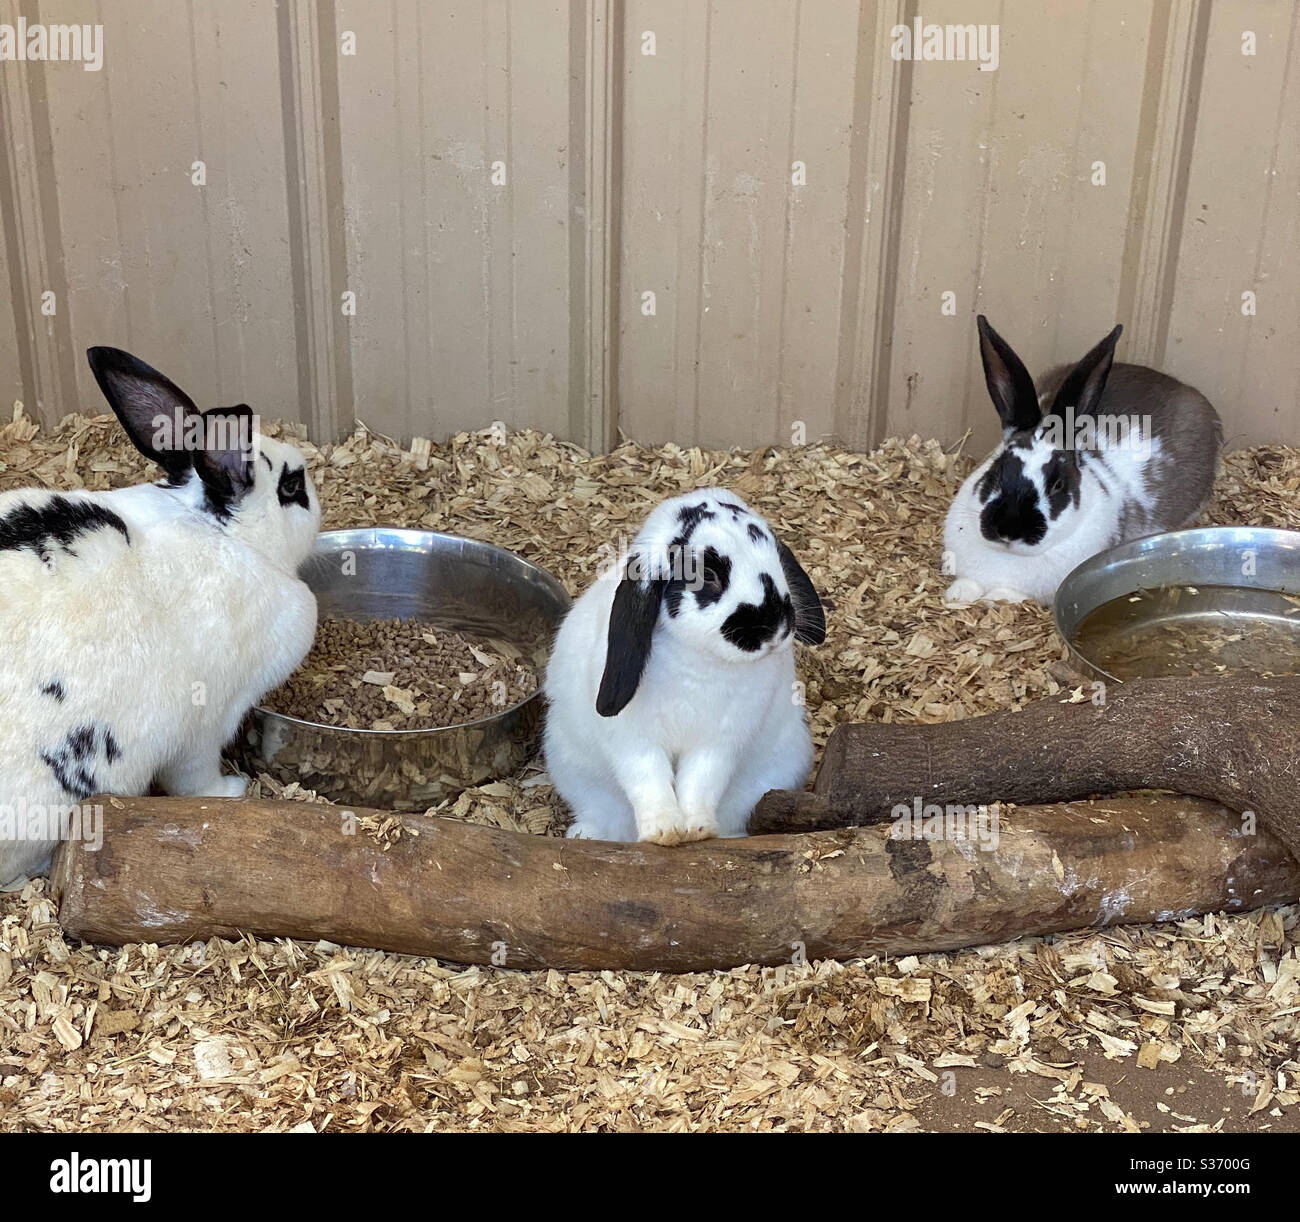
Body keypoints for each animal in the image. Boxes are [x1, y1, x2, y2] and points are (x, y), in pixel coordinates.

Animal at [0, 346, 321, 885]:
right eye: (292, 486)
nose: (318, 500)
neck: (225, 535)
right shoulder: (207, 722)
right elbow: (193, 778)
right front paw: (229, 792)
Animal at [543, 488, 826, 844]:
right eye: (707, 575)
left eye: (776, 560)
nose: (774, 629)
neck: (698, 661)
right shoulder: (632, 740)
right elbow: (647, 778)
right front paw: (664, 832)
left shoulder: (720, 742)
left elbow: (701, 781)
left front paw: (697, 829)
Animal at [943, 316, 1222, 605]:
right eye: (997, 470)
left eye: (1057, 485)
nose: (1009, 529)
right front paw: (958, 595)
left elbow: (1008, 594)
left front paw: (996, 598)